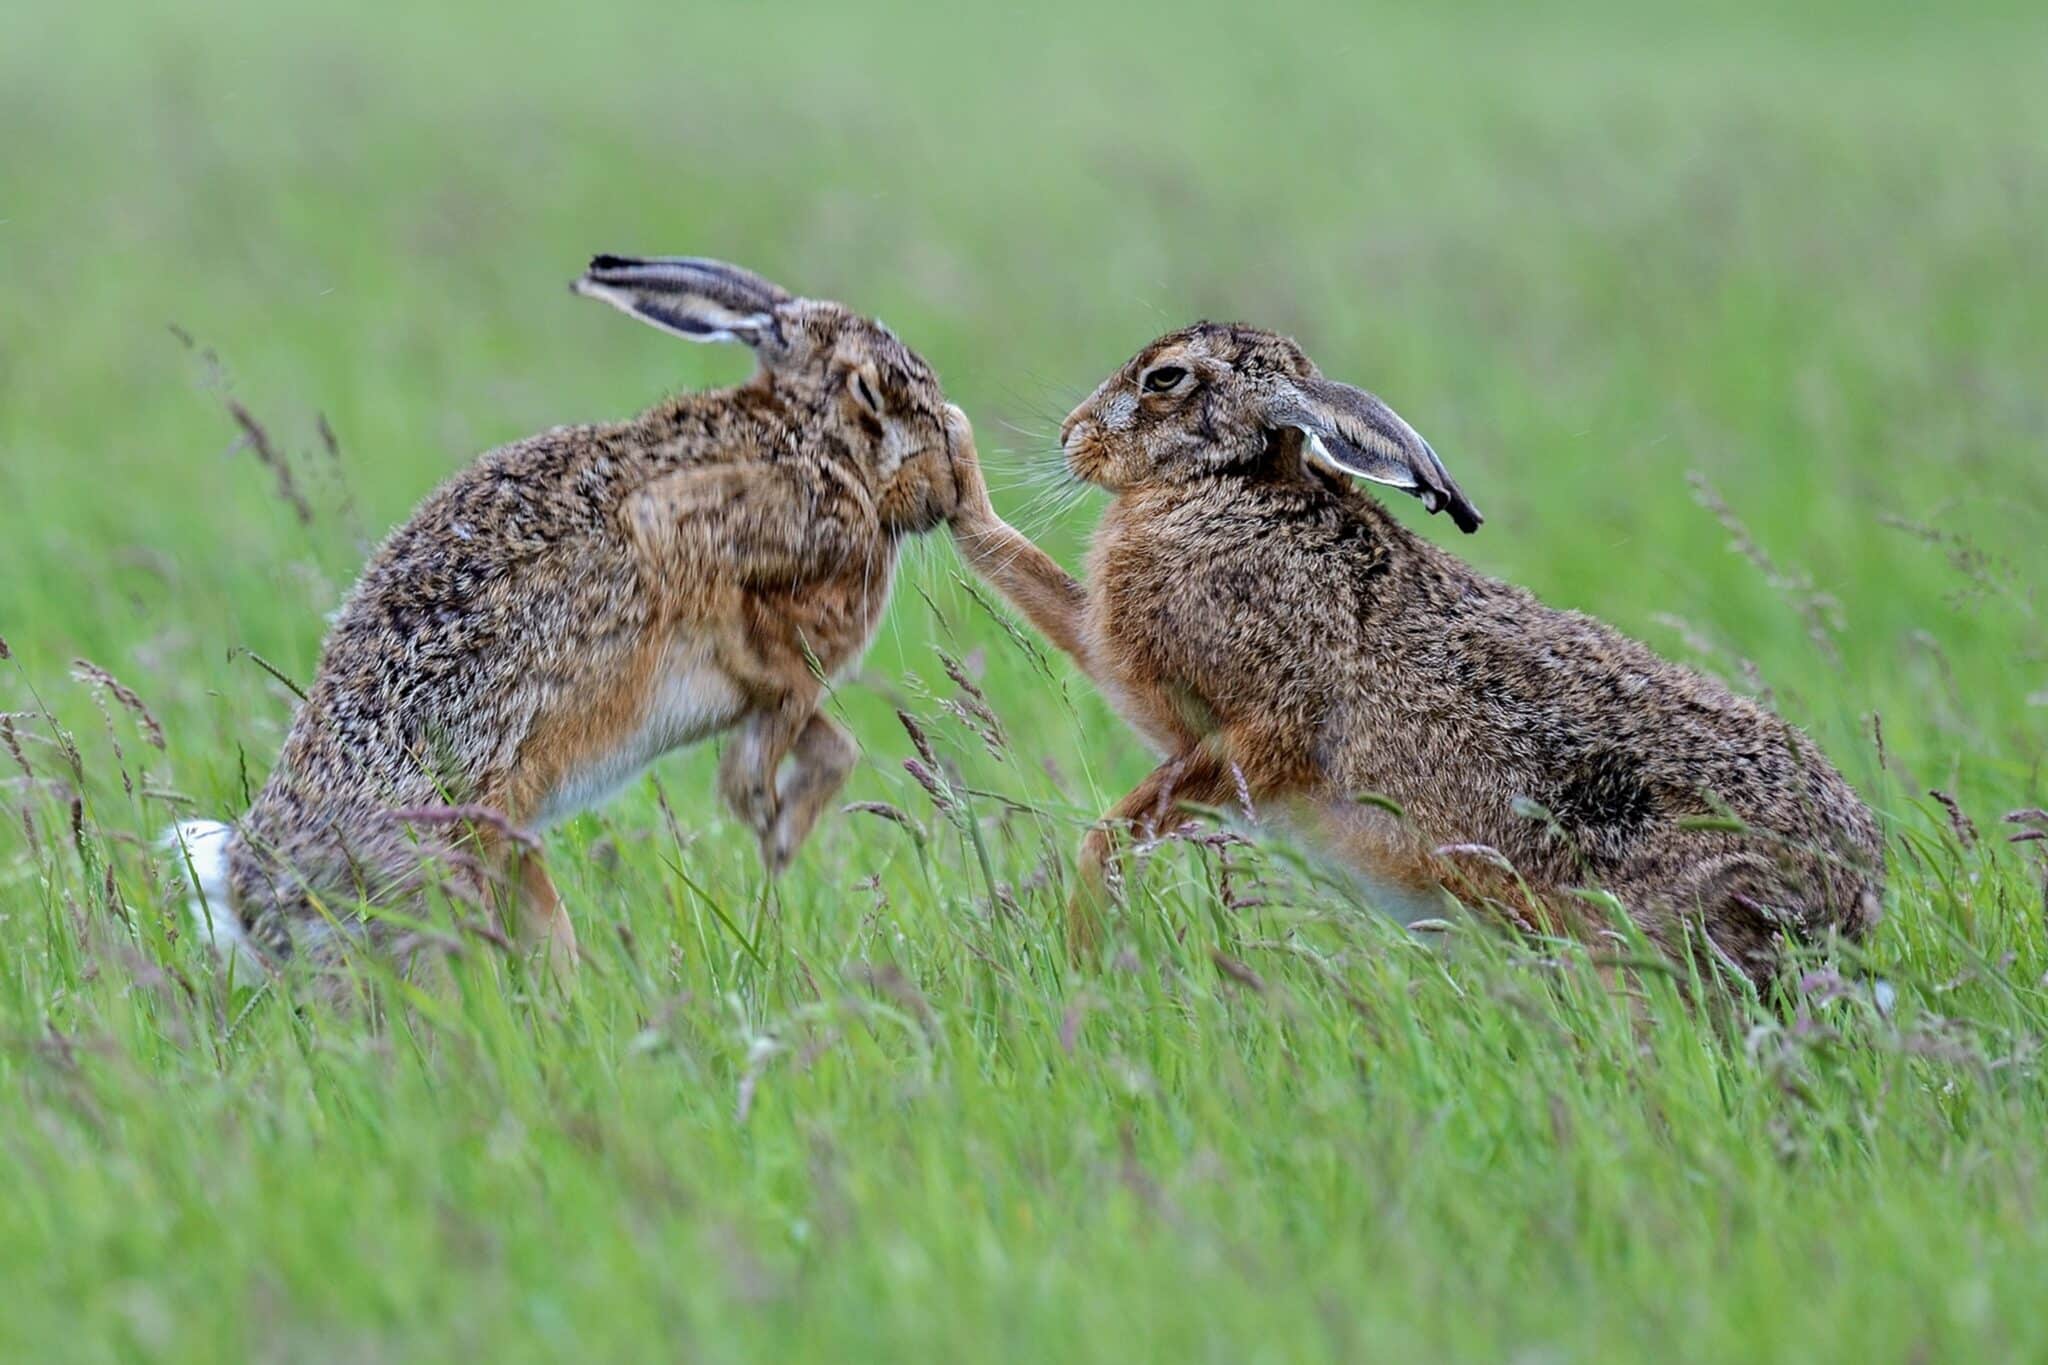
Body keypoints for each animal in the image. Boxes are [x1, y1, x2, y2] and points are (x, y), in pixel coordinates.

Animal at [168, 255, 969, 977]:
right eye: (870, 389)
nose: (947, 488)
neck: (811, 438)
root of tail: (252, 892)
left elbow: (827, 739)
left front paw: (778, 828)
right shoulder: (703, 542)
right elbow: (775, 684)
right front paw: (765, 815)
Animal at [947, 321, 1884, 988]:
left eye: (1165, 379)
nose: (1070, 436)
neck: (1232, 485)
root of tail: (1853, 897)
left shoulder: (1261, 732)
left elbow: (1115, 828)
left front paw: (1083, 945)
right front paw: (954, 472)